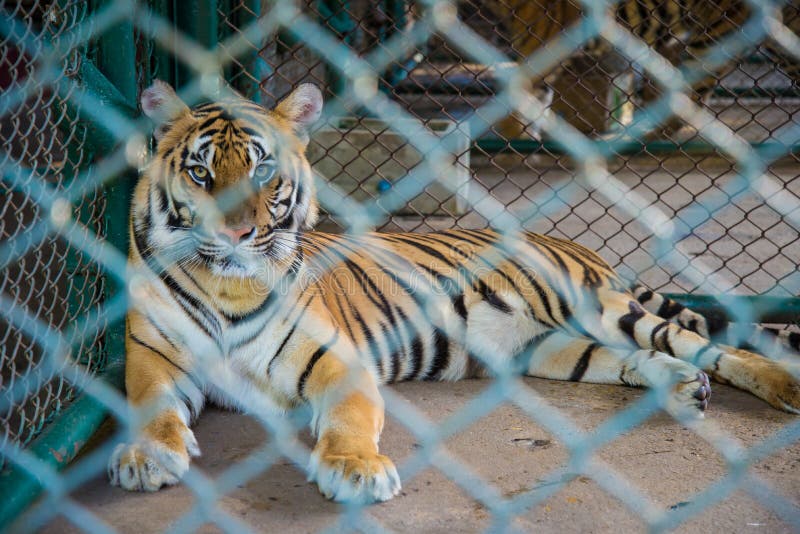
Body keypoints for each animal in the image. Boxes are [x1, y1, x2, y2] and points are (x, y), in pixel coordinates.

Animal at [108, 79, 800, 504]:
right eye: (201, 171)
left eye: (263, 170)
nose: (237, 233)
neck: (230, 287)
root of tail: (575, 245)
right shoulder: (154, 359)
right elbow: (150, 407)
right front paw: (144, 457)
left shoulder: (338, 362)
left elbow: (350, 422)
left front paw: (356, 470)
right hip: (550, 348)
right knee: (637, 357)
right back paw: (682, 388)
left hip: (599, 310)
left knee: (707, 344)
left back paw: (778, 387)